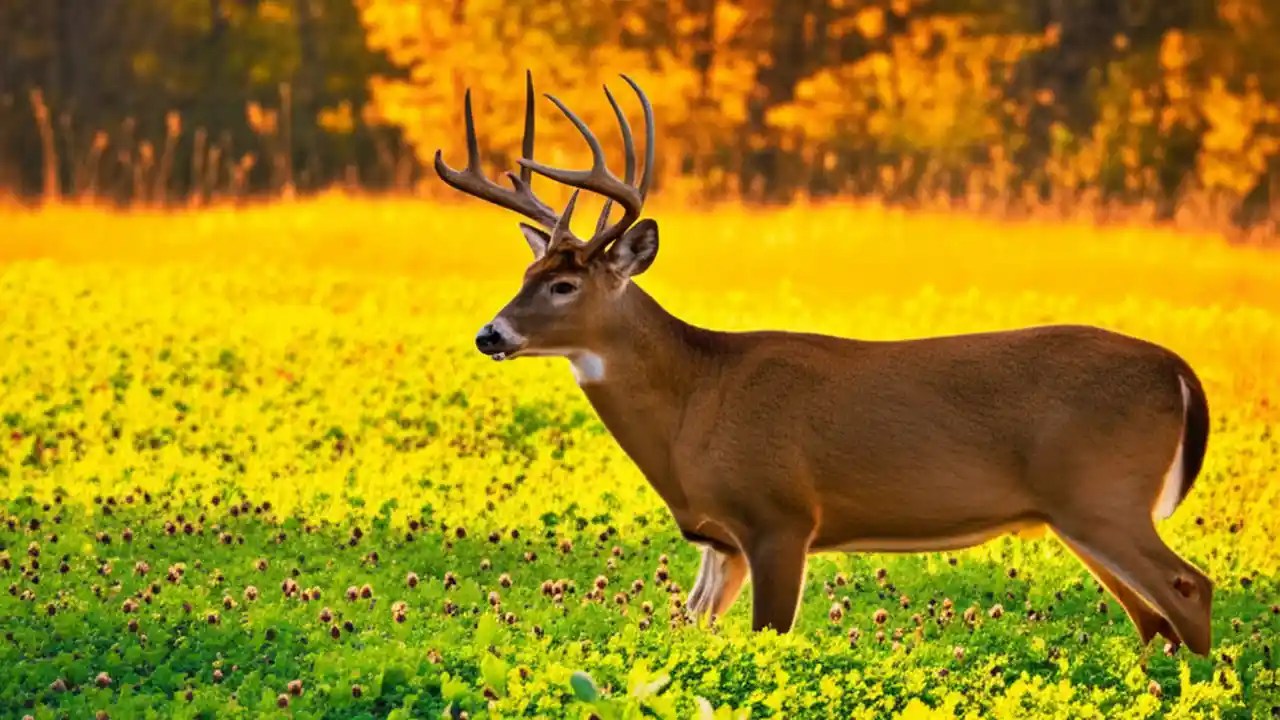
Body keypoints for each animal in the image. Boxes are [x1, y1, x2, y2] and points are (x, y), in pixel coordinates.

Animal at [433, 71, 1216, 656]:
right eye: (528, 272)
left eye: (564, 285)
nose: (489, 334)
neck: (696, 401)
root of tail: (1179, 370)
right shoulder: (722, 540)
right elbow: (693, 627)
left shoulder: (780, 517)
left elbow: (769, 638)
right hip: (1077, 514)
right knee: (1153, 621)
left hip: (1105, 496)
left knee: (1189, 590)